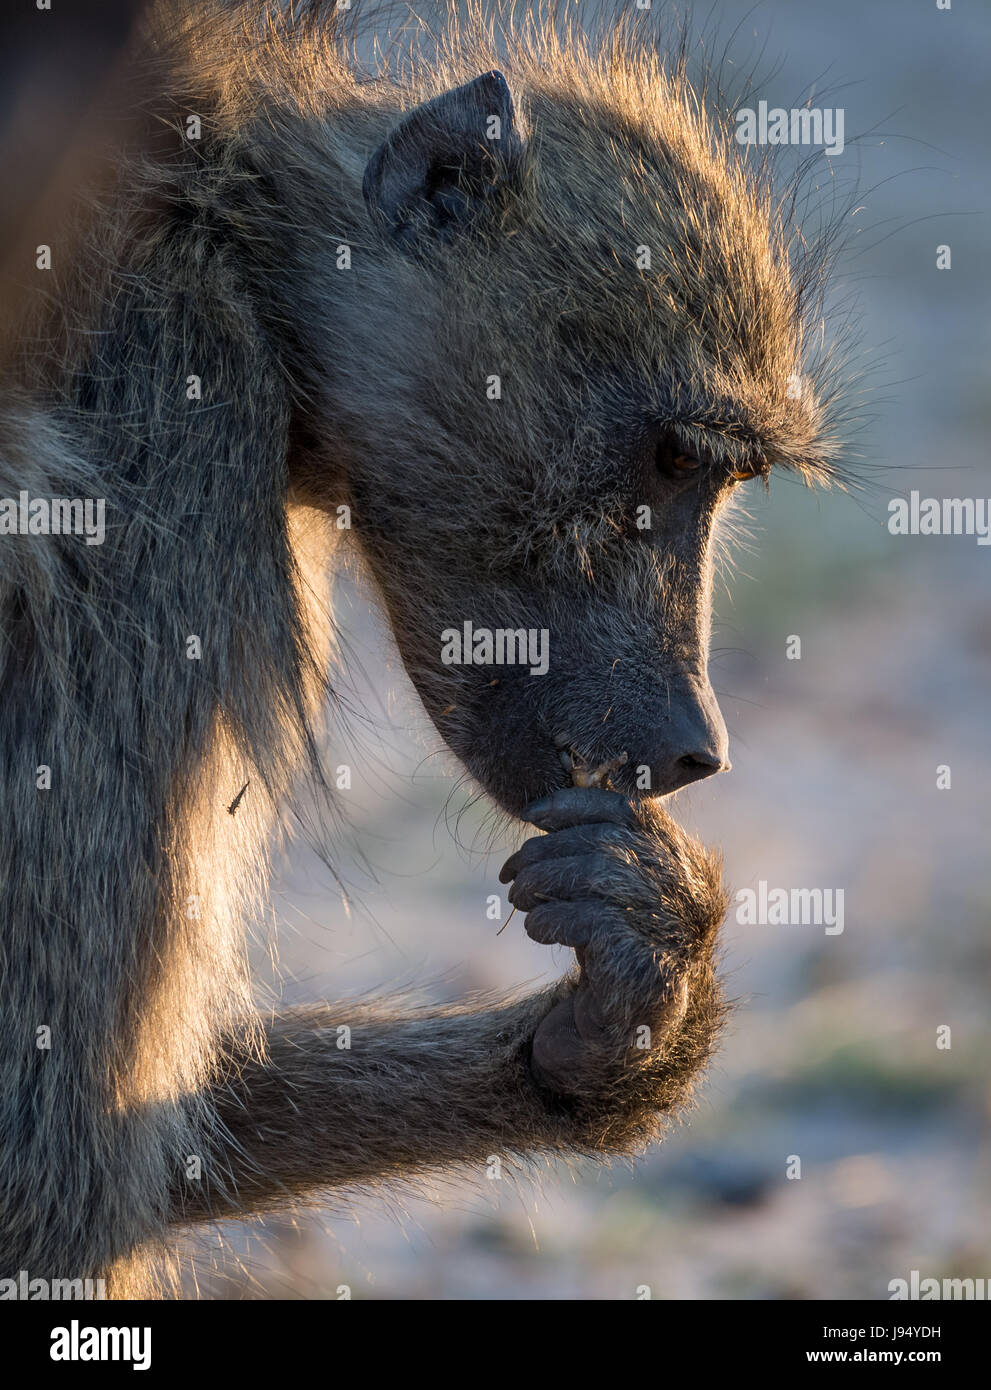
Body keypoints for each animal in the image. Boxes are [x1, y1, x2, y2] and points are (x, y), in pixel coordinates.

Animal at [0, 1, 847, 1298]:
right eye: (666, 461)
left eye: (715, 479)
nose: (694, 748)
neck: (236, 235)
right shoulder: (167, 442)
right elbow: (54, 1160)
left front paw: (630, 1003)